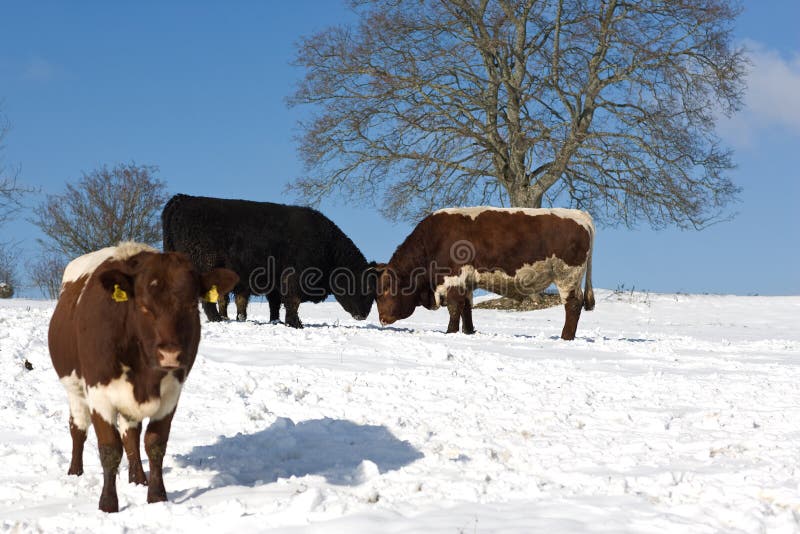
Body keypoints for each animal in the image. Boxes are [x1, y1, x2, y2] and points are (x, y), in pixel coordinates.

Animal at [48, 242, 238, 513]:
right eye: (144, 307)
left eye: (192, 306)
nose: (170, 354)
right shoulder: (99, 394)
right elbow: (109, 449)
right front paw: (108, 504)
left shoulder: (171, 394)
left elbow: (154, 443)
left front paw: (156, 496)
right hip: (74, 389)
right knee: (78, 429)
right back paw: (75, 472)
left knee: (131, 436)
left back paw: (137, 478)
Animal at [162, 194, 375, 328]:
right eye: (364, 286)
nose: (364, 315)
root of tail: (182, 199)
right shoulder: (293, 278)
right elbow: (292, 302)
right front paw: (296, 324)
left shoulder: (275, 282)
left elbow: (275, 304)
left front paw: (276, 321)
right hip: (206, 267)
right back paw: (216, 319)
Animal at [375, 207, 595, 339]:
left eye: (386, 289)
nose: (382, 319)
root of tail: (579, 214)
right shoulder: (467, 282)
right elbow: (466, 309)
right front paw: (468, 332)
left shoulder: (455, 278)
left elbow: (454, 308)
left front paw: (450, 332)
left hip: (567, 276)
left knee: (573, 305)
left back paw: (565, 337)